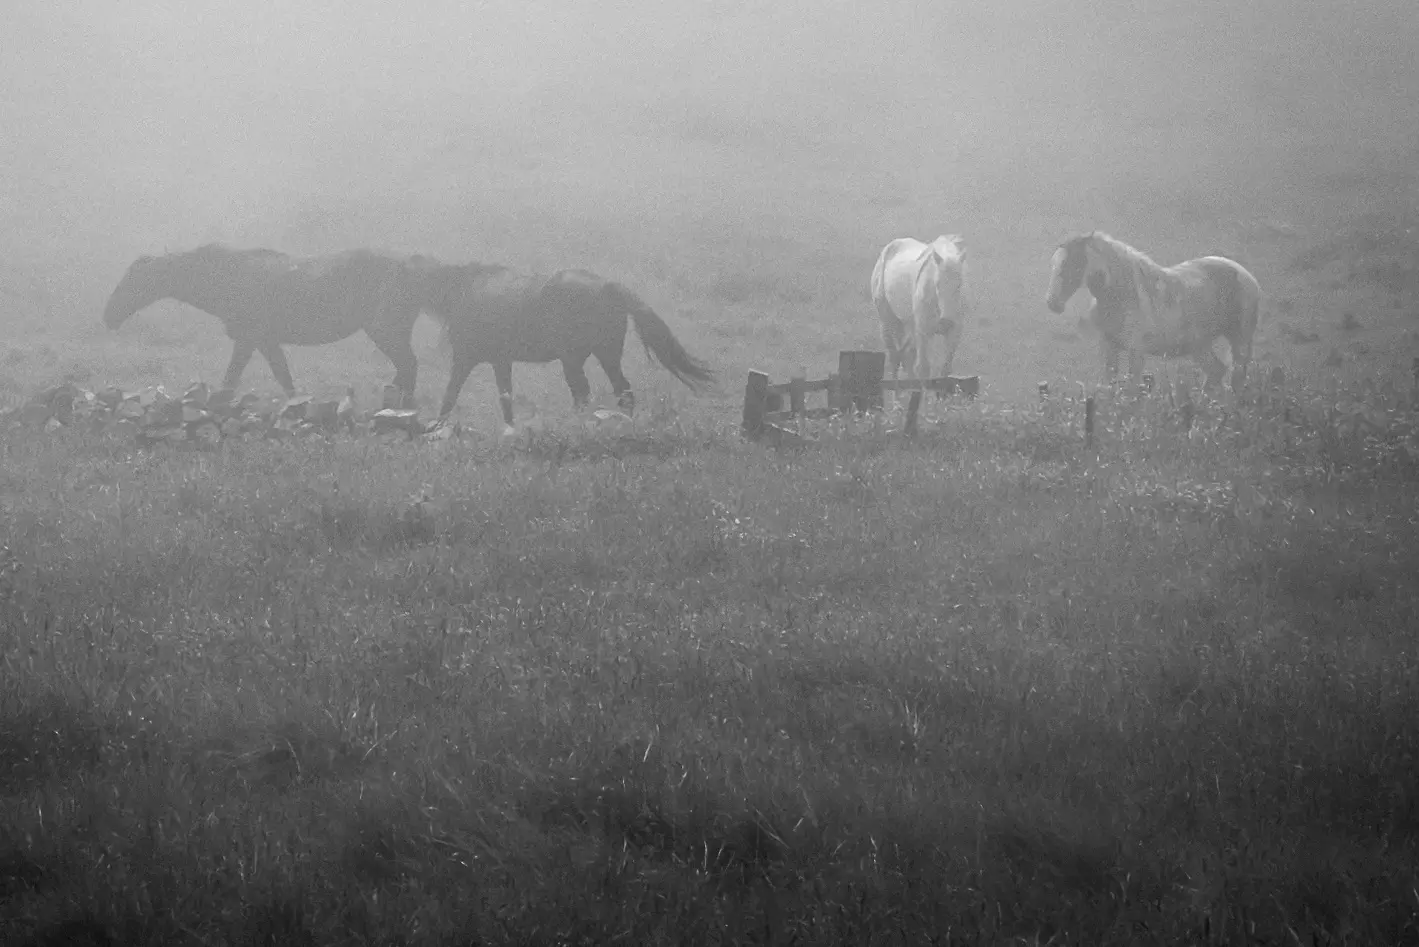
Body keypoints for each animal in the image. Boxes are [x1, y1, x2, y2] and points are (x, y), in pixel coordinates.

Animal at [405, 256, 715, 431]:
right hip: (607, 355)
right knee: (622, 391)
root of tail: (608, 286)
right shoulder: (500, 361)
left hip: (574, 359)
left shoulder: (465, 358)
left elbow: (450, 395)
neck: (464, 290)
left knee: (583, 395)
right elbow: (505, 399)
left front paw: (436, 429)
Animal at [868, 235, 970, 406]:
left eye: (959, 284)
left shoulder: (954, 333)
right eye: (937, 284)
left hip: (910, 329)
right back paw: (898, 402)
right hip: (889, 323)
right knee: (895, 358)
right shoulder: (924, 331)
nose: (946, 321)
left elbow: (945, 368)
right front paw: (926, 404)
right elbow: (923, 367)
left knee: (907, 355)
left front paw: (942, 403)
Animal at [1044, 230, 1265, 391]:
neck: (1123, 295)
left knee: (1235, 378)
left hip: (1238, 341)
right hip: (1200, 346)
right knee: (1216, 372)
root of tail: (1248, 277)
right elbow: (1111, 386)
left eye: (1072, 264)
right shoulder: (1109, 347)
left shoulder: (1136, 351)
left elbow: (1133, 389)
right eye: (1054, 264)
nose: (1052, 303)